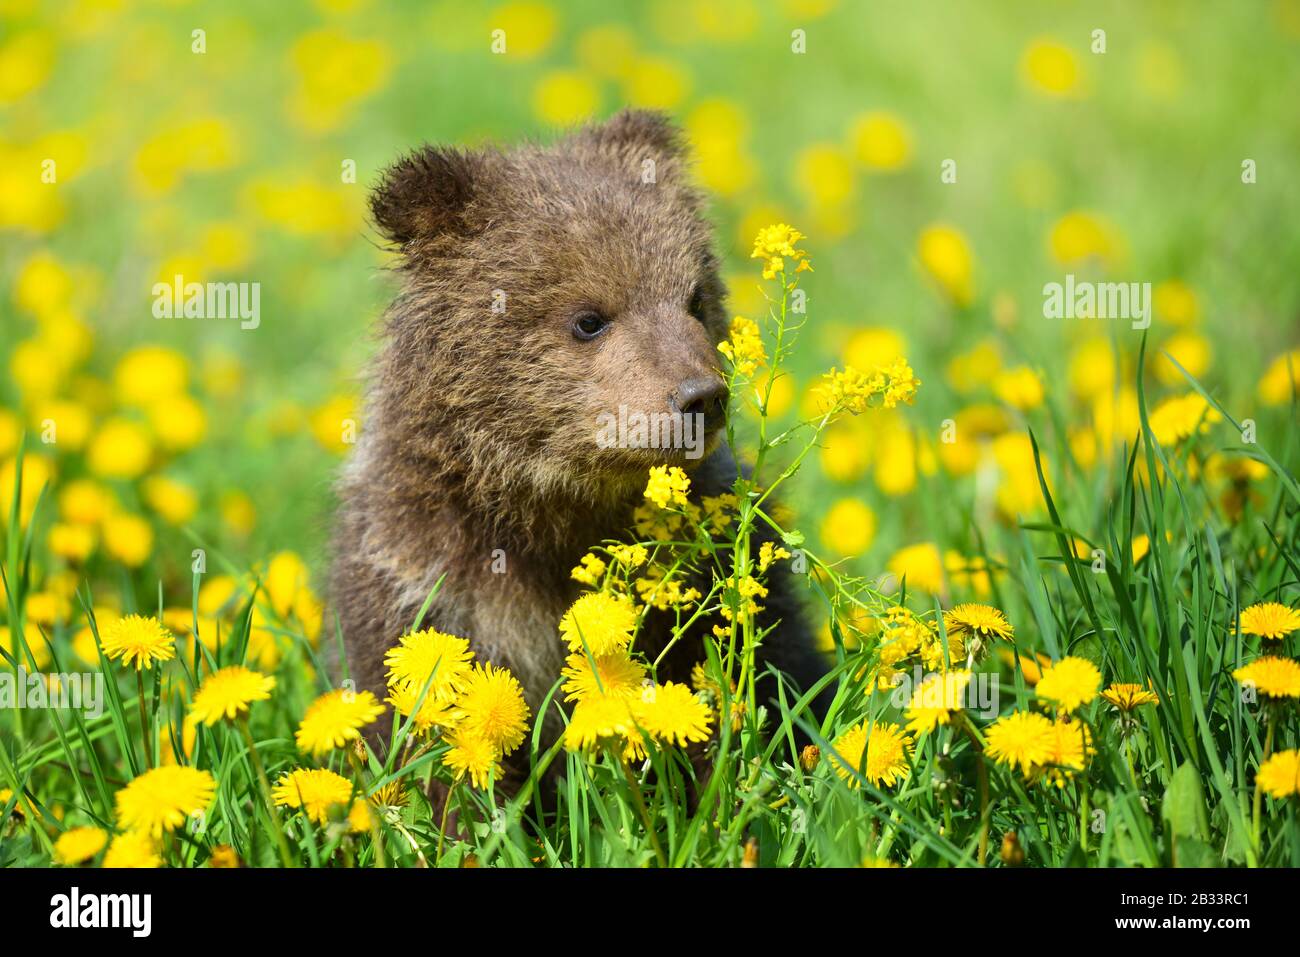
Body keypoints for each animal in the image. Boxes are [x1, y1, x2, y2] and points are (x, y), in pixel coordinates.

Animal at [331, 109, 826, 787]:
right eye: (590, 319)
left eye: (695, 298)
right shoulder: (419, 578)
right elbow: (424, 727)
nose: (700, 396)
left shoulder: (717, 563)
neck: (549, 510)